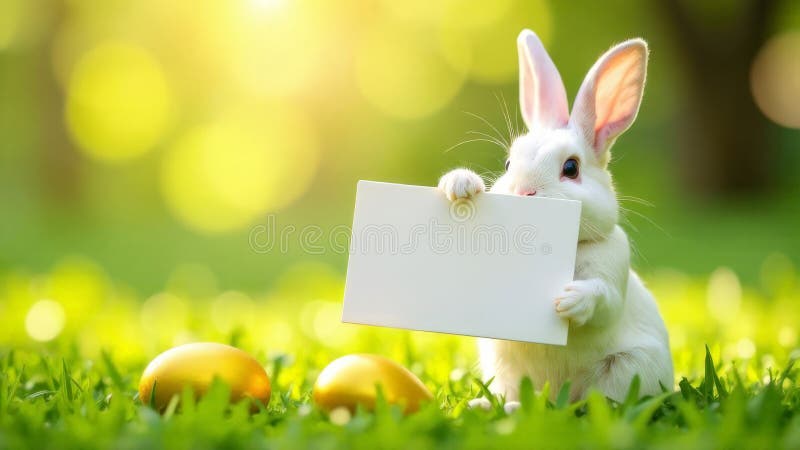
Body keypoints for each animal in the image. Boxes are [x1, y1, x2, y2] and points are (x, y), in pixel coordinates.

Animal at [438, 30, 673, 411]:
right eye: (508, 164)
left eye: (571, 168)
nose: (523, 192)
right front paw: (459, 184)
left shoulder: (613, 270)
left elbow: (605, 299)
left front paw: (570, 301)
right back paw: (488, 406)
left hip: (628, 368)